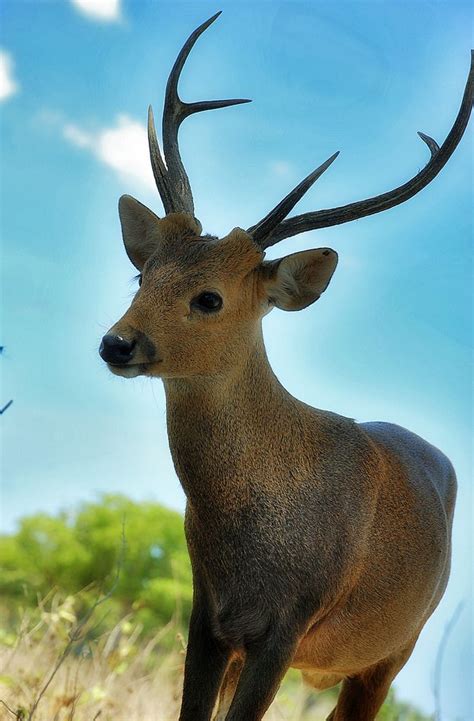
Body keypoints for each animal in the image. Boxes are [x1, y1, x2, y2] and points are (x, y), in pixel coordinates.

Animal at [98, 12, 473, 721]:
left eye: (209, 298)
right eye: (142, 273)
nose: (117, 344)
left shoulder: (289, 623)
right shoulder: (208, 615)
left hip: (391, 653)